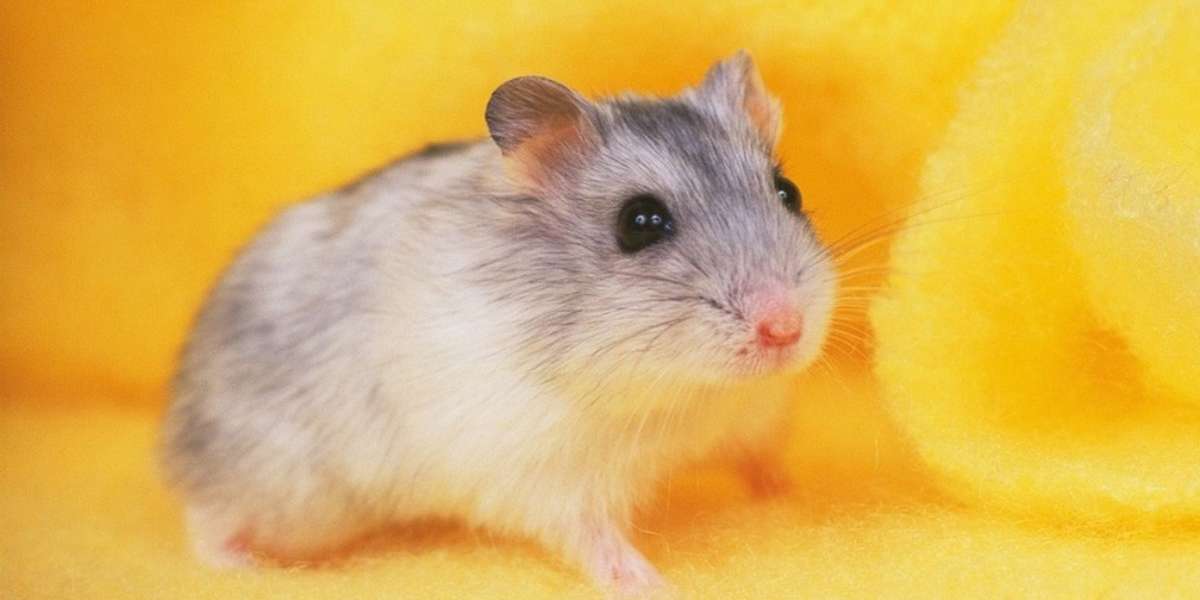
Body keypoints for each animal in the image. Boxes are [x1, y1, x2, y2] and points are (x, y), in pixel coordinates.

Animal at [161, 51, 835, 597]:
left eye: (789, 191)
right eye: (640, 223)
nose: (784, 328)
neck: (686, 392)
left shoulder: (750, 418)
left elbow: (762, 461)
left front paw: (798, 499)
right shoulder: (546, 474)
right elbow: (594, 538)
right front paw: (657, 586)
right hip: (279, 488)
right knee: (205, 517)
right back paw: (238, 567)